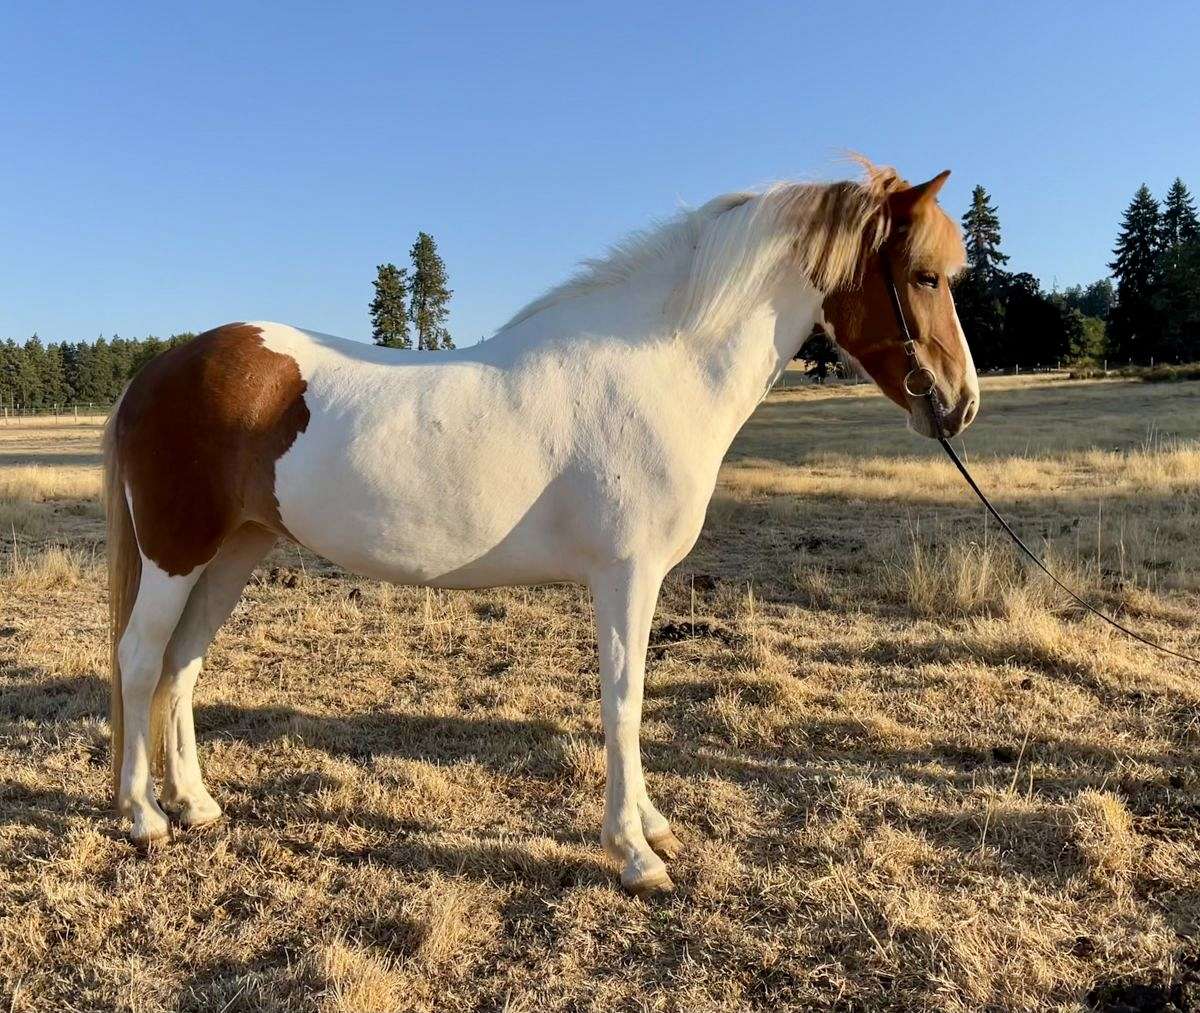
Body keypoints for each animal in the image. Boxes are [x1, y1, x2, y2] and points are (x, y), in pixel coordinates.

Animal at [105, 160, 978, 895]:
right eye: (925, 276)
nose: (960, 403)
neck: (661, 367)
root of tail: (158, 371)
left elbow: (630, 699)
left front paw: (652, 825)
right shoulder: (625, 573)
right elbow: (623, 699)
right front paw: (635, 853)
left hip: (233, 554)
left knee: (183, 665)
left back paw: (195, 802)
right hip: (178, 553)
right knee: (142, 661)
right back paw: (144, 817)